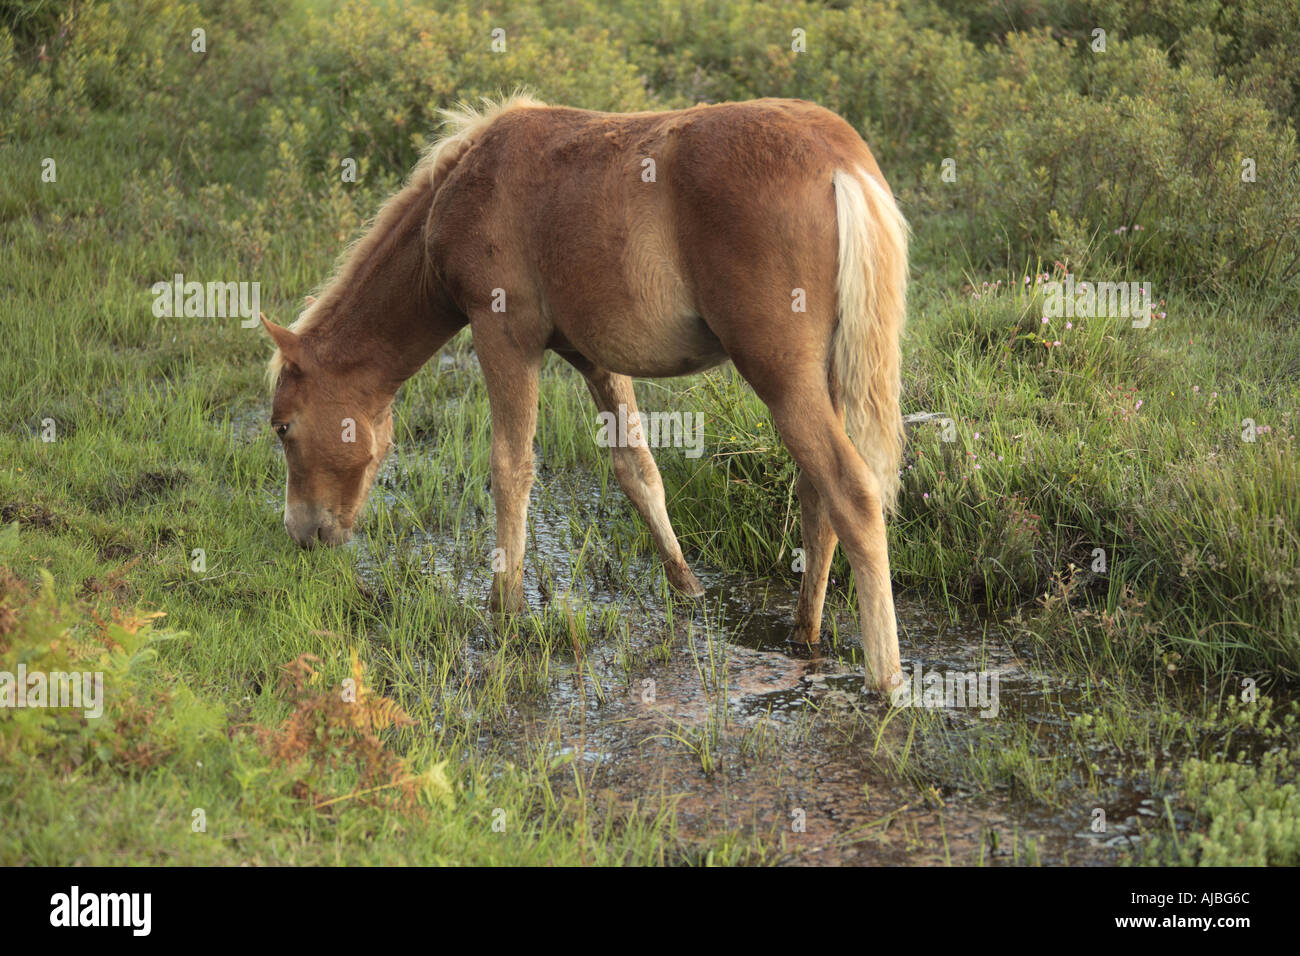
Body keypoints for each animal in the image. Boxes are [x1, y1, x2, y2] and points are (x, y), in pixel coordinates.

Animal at [262, 95, 909, 691]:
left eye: (283, 426)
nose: (301, 533)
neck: (464, 185)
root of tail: (841, 163)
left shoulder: (503, 335)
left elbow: (511, 468)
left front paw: (504, 609)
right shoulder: (594, 359)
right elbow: (638, 473)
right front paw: (687, 589)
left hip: (781, 377)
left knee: (851, 494)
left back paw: (885, 679)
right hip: (823, 379)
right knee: (817, 497)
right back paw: (804, 634)